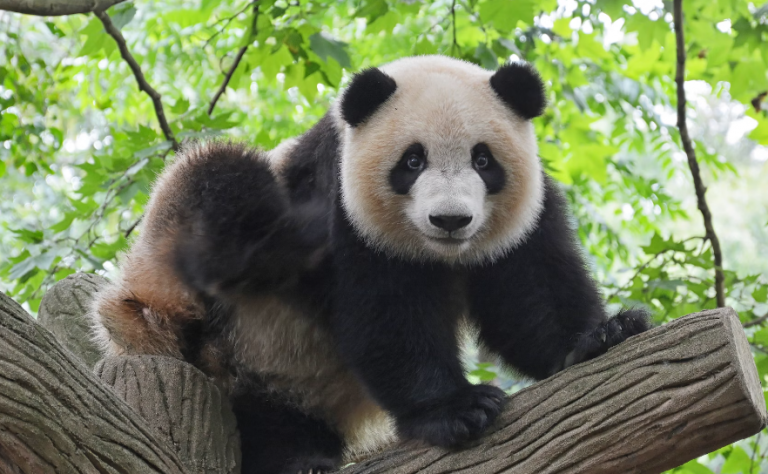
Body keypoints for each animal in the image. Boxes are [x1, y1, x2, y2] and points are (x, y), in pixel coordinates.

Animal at [89, 55, 650, 474]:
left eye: (483, 160)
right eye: (413, 161)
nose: (450, 220)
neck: (440, 255)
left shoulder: (523, 218)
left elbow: (529, 295)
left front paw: (602, 335)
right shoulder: (346, 208)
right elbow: (386, 316)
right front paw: (459, 410)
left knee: (272, 420)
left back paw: (299, 455)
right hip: (187, 296)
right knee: (218, 178)